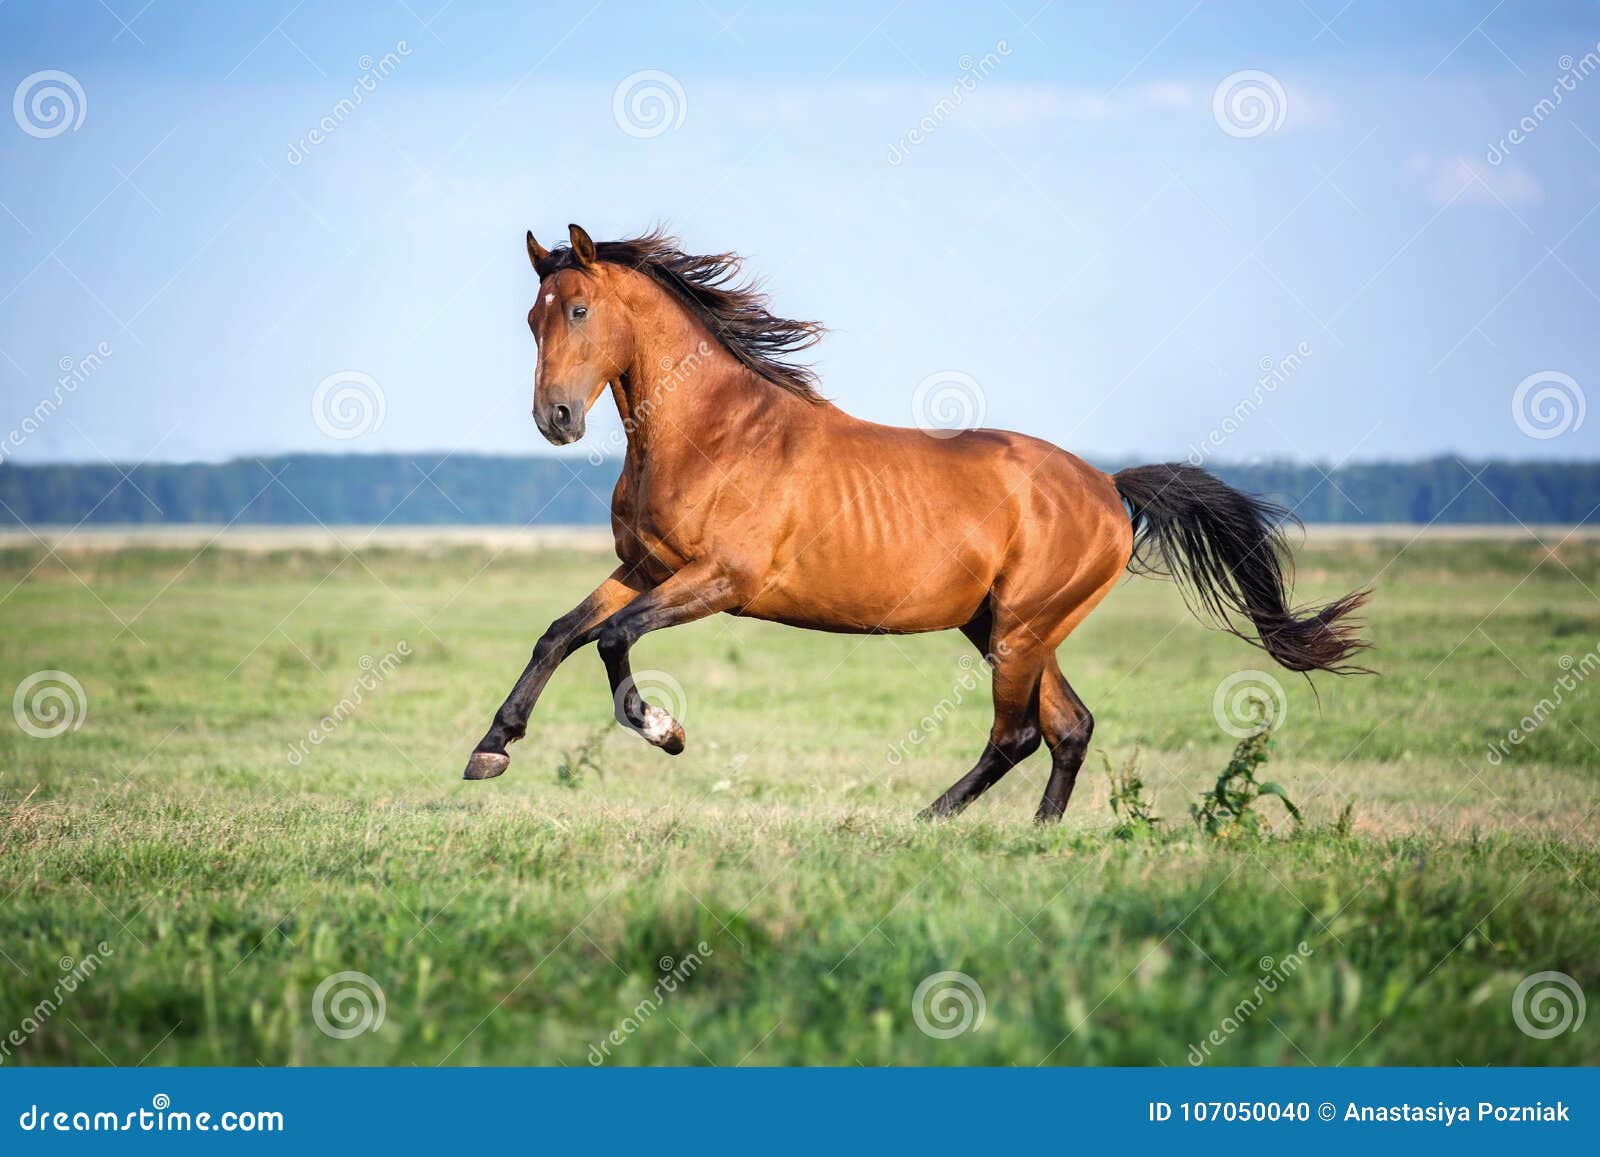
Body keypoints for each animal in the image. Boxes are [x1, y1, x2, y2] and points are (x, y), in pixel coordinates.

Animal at [462, 224, 1370, 822]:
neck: (711, 433)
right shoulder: (646, 568)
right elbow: (561, 632)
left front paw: (666, 731)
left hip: (1021, 627)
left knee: (1019, 733)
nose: (556, 418)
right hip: (1002, 626)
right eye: (534, 317)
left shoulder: (718, 580)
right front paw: (493, 746)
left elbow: (612, 639)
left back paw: (931, 820)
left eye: (579, 311)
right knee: (1068, 726)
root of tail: (1109, 488)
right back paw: (1037, 839)